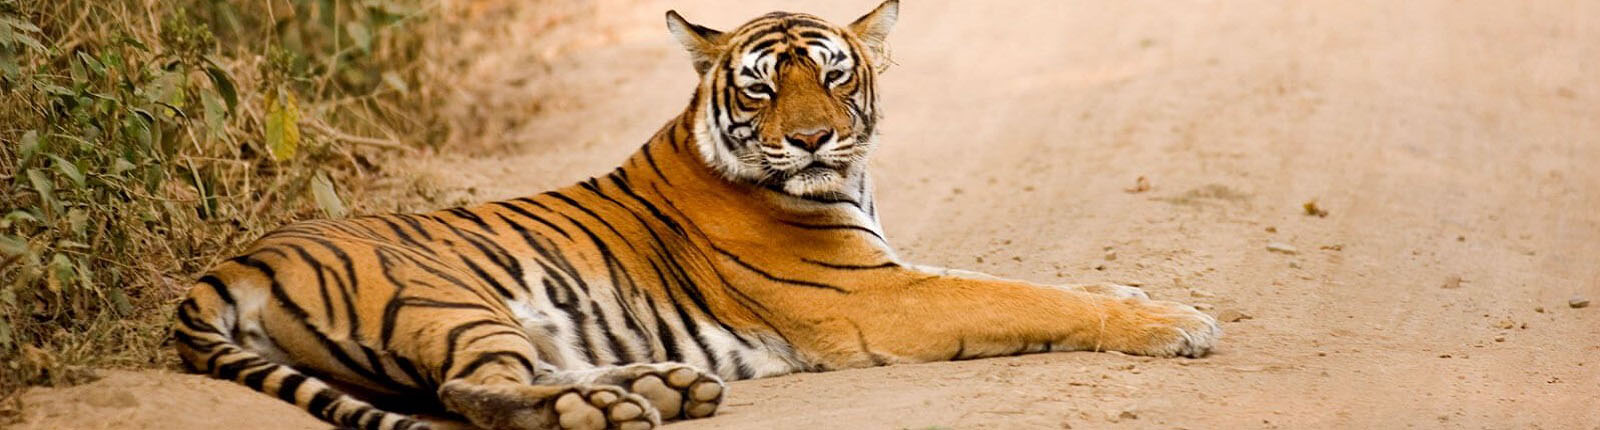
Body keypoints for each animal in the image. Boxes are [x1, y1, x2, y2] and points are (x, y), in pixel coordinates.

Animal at [172, 2, 1220, 429]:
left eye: (832, 74)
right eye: (760, 87)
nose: (810, 140)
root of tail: (226, 265)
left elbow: (1043, 280)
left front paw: (1139, 292)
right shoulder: (879, 298)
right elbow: (1027, 296)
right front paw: (1176, 321)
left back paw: (661, 389)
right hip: (446, 301)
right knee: (471, 391)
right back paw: (609, 409)